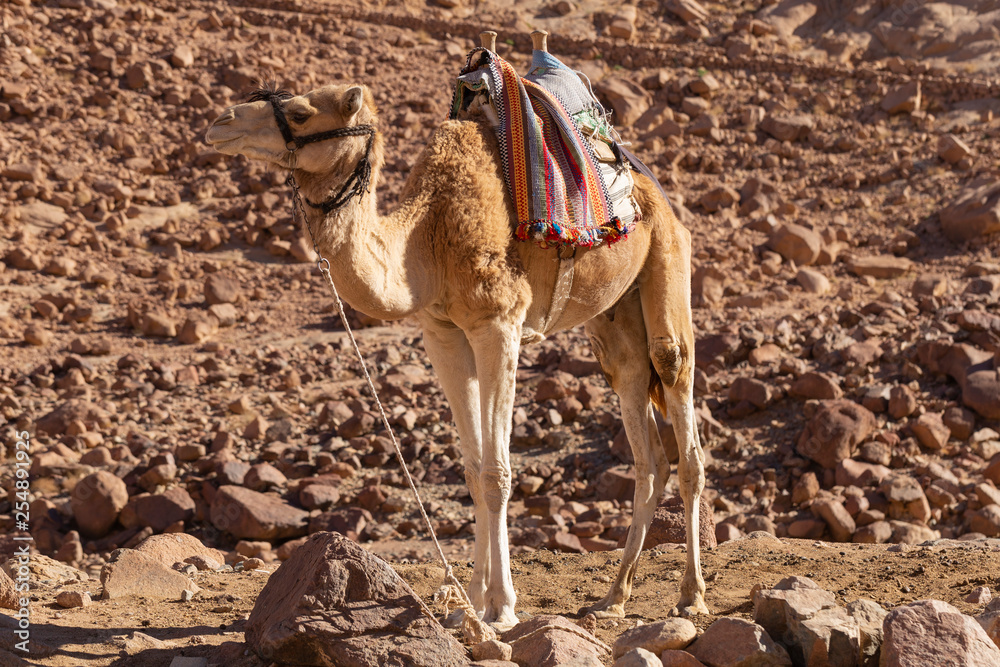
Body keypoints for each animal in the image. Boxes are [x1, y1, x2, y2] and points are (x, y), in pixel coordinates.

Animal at [204, 54, 709, 629]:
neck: (424, 238)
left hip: (668, 261)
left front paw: (503, 606)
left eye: (301, 111)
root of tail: (649, 186)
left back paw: (690, 595)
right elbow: (471, 470)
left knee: (680, 410)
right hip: (611, 317)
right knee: (642, 427)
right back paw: (613, 597)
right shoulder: (443, 334)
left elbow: (497, 473)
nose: (219, 122)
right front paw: (470, 599)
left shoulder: (498, 324)